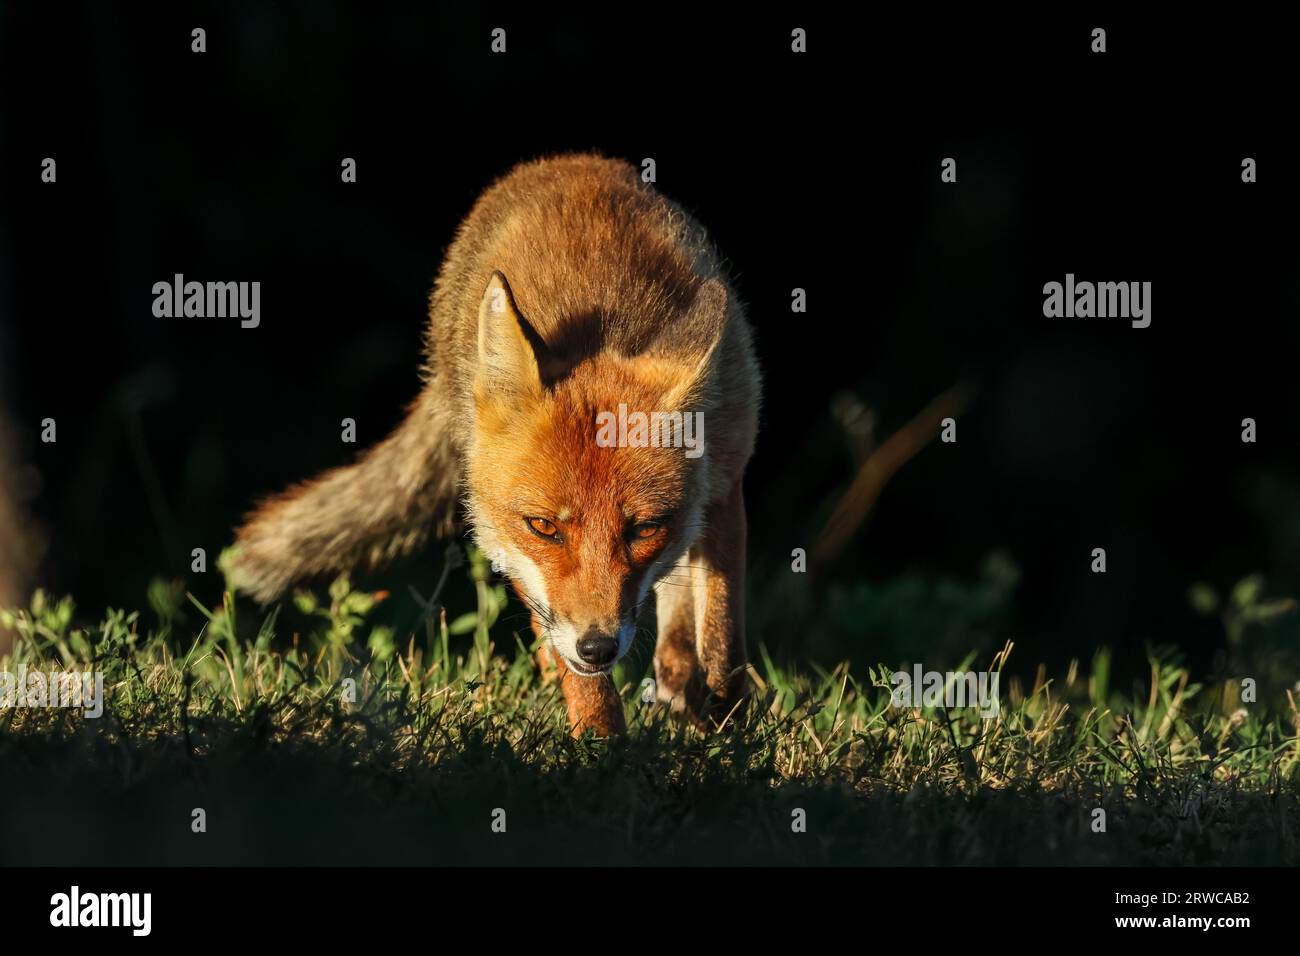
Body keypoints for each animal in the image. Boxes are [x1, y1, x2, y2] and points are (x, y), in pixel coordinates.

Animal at [225, 154, 761, 737]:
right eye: (544, 527)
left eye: (643, 528)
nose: (596, 647)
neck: (607, 322)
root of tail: (570, 160)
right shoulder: (514, 545)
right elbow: (576, 664)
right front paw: (602, 742)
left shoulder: (723, 480)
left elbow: (721, 626)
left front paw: (726, 723)